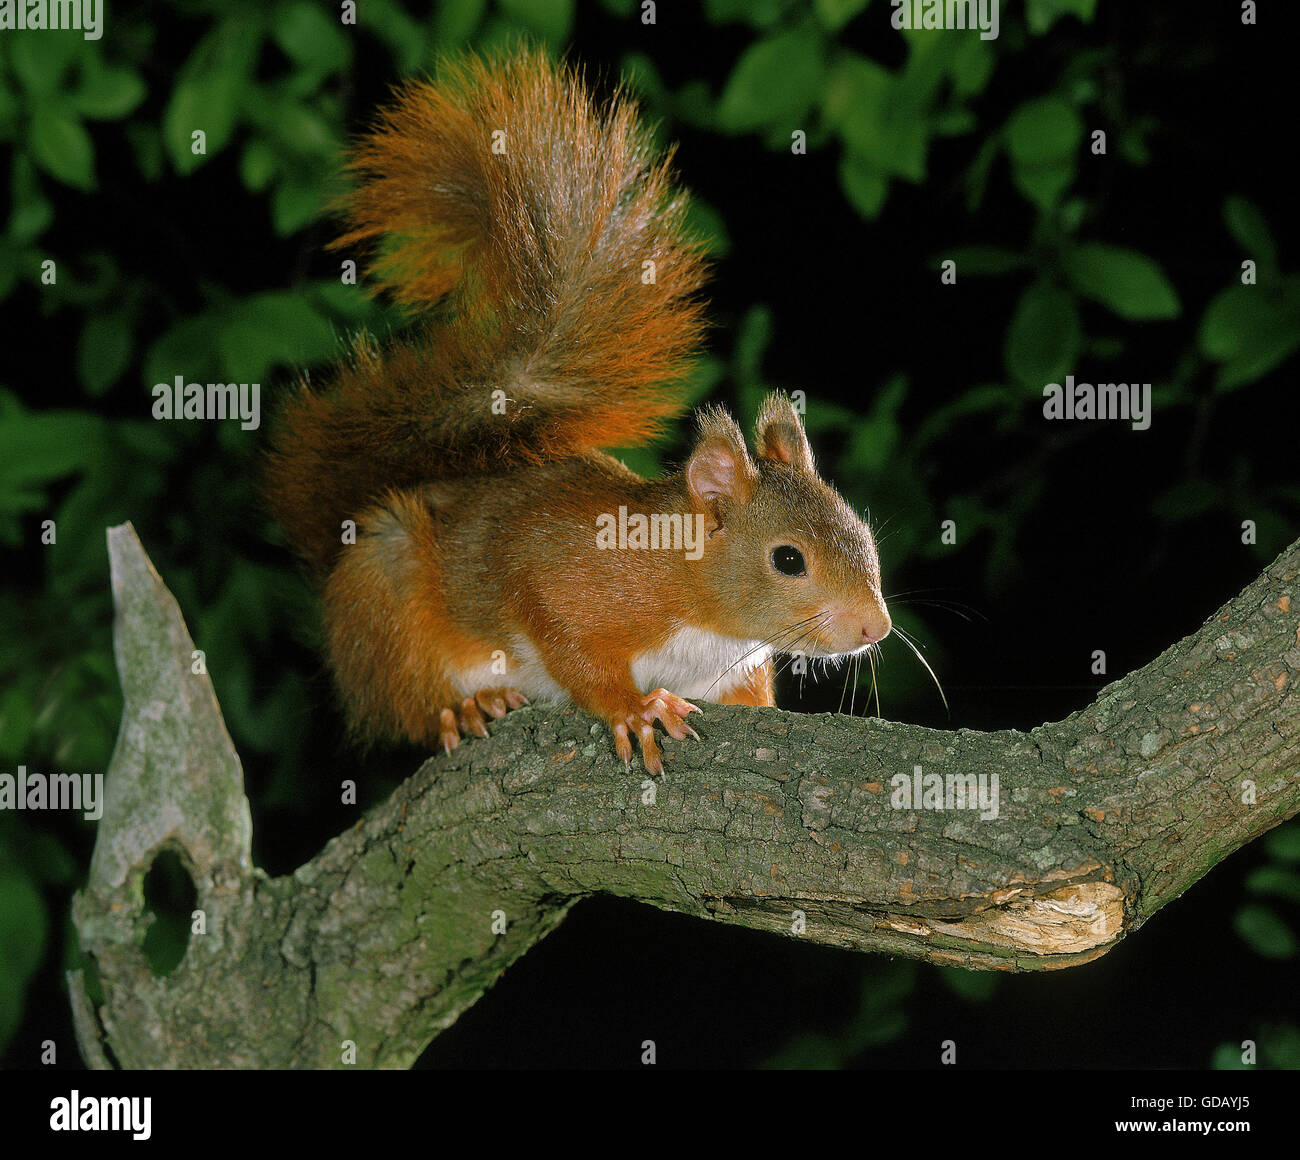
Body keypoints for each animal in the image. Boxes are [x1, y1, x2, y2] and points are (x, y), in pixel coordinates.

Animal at [263, 47, 892, 775]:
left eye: (865, 534)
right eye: (788, 560)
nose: (877, 627)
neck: (693, 597)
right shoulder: (567, 581)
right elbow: (571, 648)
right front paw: (635, 709)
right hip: (383, 604)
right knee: (407, 706)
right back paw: (465, 707)